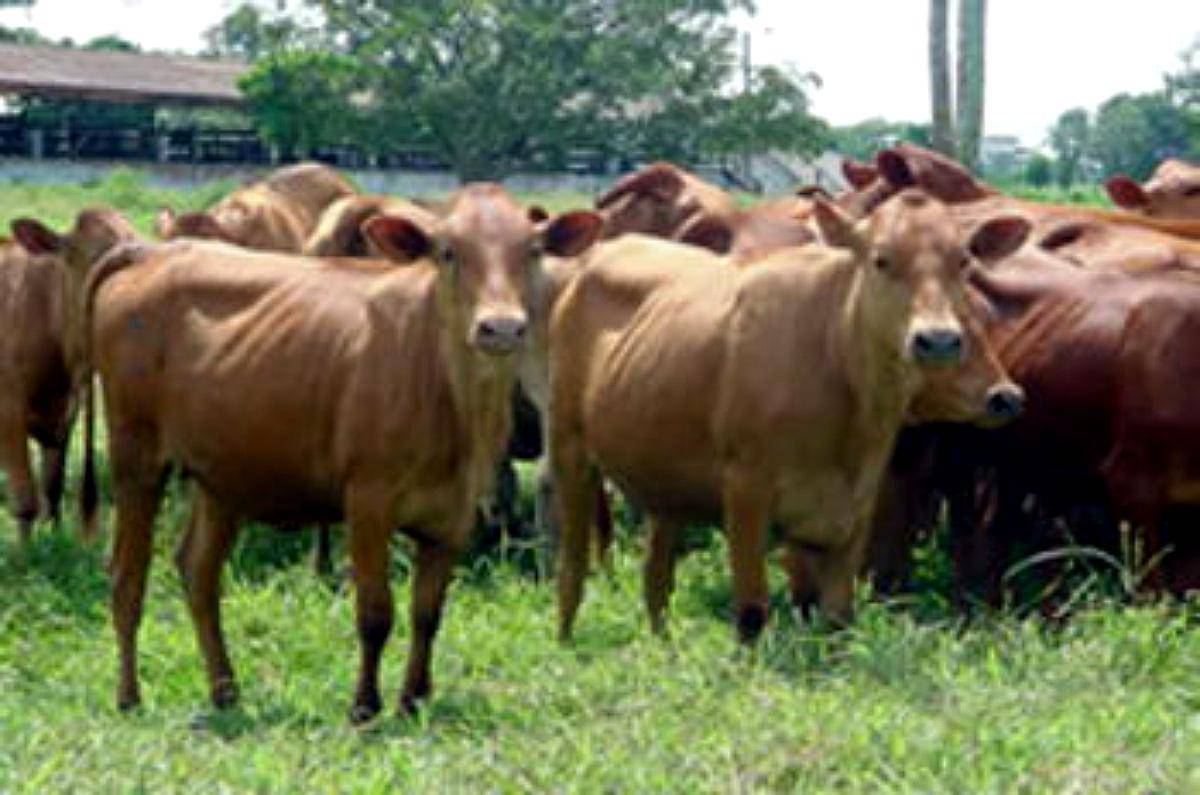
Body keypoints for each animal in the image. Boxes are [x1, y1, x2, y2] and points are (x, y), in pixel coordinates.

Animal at [0, 209, 136, 541]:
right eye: (86, 256)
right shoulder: (8, 412)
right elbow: (25, 500)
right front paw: (26, 550)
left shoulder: (67, 410)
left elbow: (53, 486)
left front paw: (55, 538)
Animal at [84, 185, 602, 721]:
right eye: (448, 252)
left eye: (533, 250)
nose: (500, 328)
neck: (449, 399)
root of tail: (152, 252)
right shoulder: (367, 502)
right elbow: (375, 612)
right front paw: (365, 706)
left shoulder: (453, 516)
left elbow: (428, 613)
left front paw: (413, 699)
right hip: (136, 455)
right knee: (127, 577)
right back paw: (129, 695)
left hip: (222, 473)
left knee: (198, 571)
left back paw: (225, 689)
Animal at [550, 190, 1030, 642]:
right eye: (881, 259)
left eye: (963, 262)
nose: (939, 341)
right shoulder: (745, 491)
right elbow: (751, 613)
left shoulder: (853, 510)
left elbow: (837, 619)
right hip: (569, 448)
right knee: (572, 569)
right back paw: (567, 644)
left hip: (663, 478)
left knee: (656, 579)